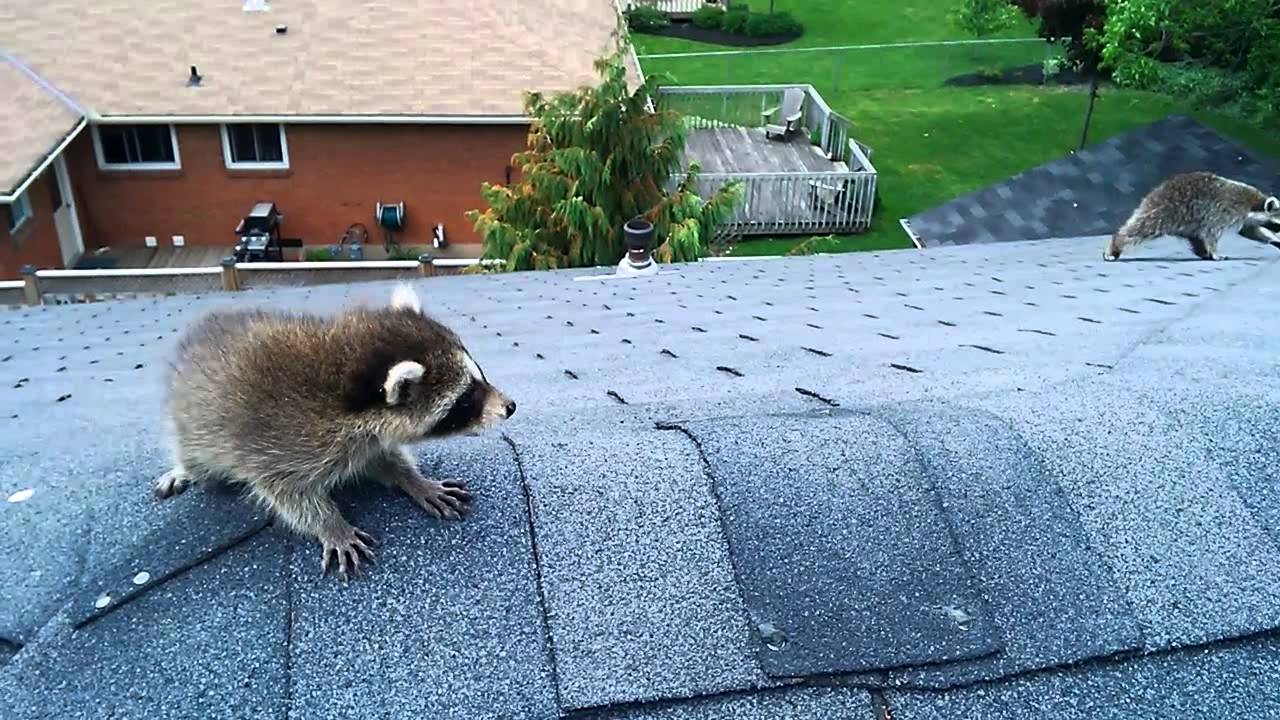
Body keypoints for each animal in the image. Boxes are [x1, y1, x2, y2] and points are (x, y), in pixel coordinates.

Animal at [153, 284, 516, 578]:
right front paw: (331, 524)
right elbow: (290, 495)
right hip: (194, 426)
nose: (510, 406)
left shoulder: (364, 439)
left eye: (478, 375)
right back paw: (183, 468)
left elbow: (383, 459)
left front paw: (415, 481)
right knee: (199, 461)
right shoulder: (282, 446)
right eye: (466, 399)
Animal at [1103, 171, 1280, 261]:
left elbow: (1250, 231)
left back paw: (1202, 252)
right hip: (1168, 209)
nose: (1278, 233)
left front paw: (1274, 240)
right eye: (1278, 224)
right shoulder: (1225, 211)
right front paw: (1215, 252)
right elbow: (1212, 233)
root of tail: (1159, 188)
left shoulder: (1246, 219)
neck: (1254, 204)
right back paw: (1117, 243)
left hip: (1188, 217)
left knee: (1195, 235)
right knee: (1143, 227)